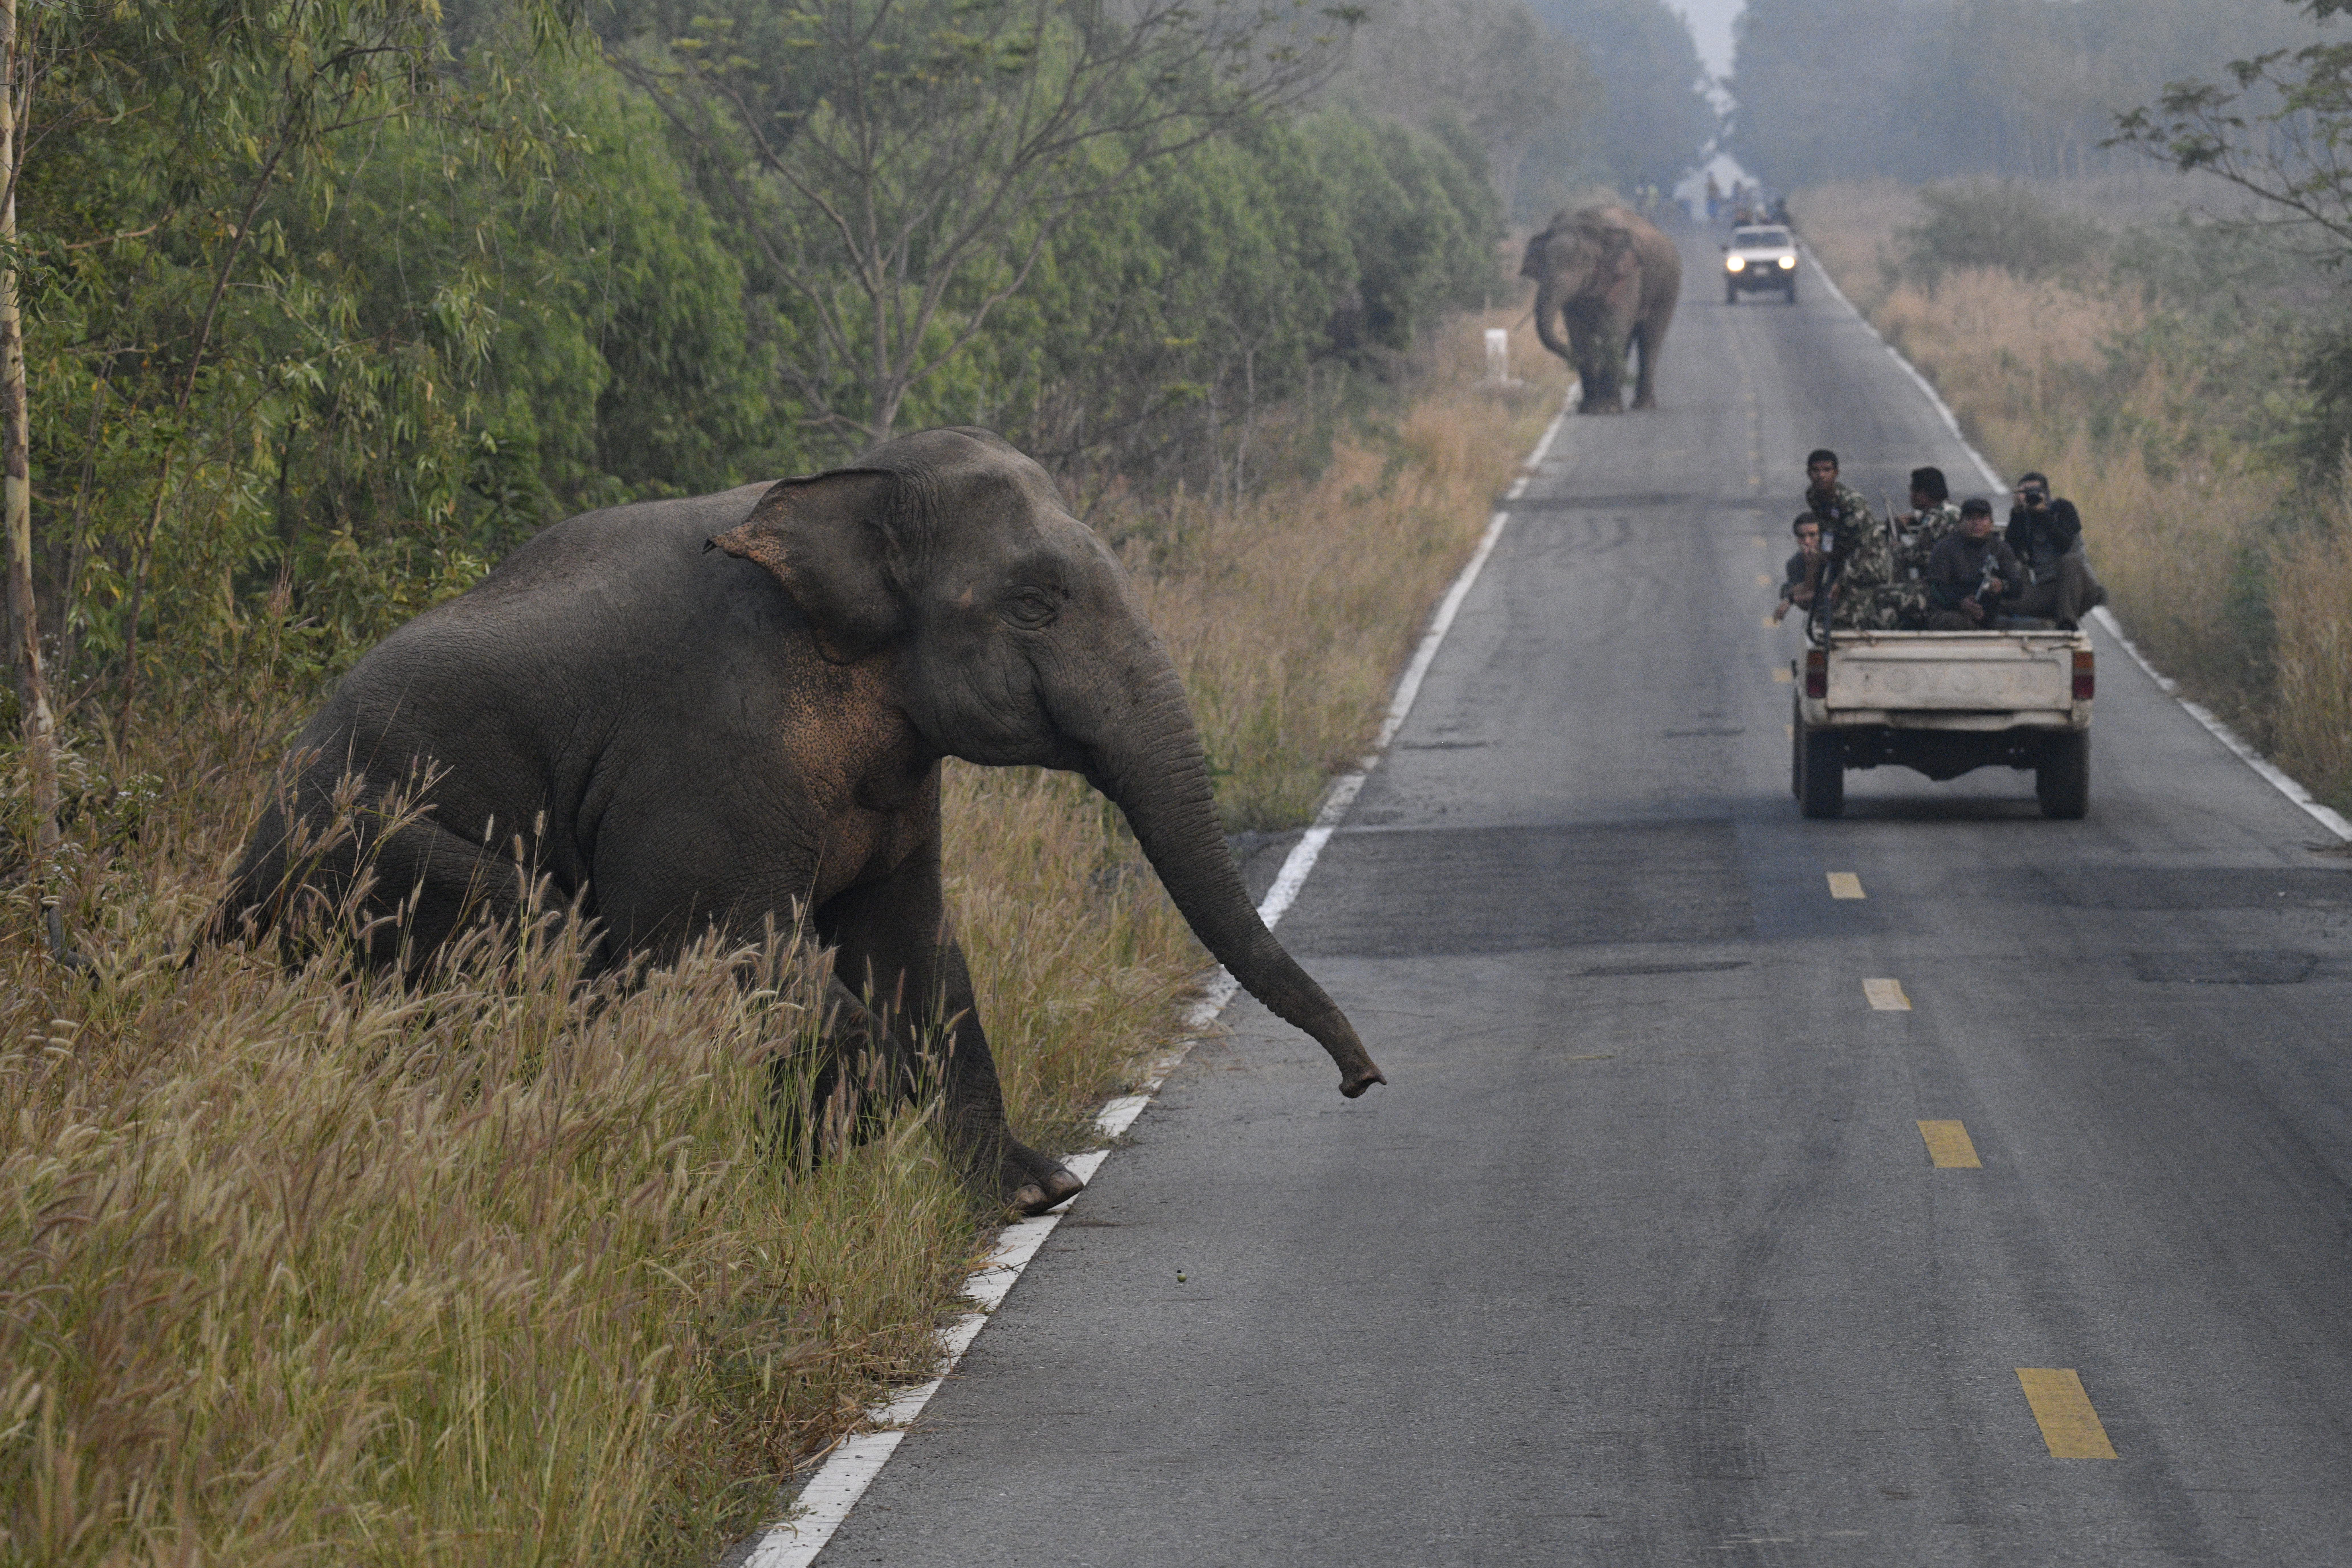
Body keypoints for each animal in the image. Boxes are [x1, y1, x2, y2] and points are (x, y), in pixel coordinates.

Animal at [209, 427, 1386, 1215]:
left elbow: (912, 949)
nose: (1362, 1081)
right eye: (1034, 604)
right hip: (364, 854)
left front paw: (1026, 1192)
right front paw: (839, 1152)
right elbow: (717, 945)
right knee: (540, 942)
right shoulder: (702, 754)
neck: (849, 485)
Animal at [1520, 204, 1683, 413]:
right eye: (1544, 259)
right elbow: (1579, 333)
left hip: (1668, 289)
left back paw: (1642, 406)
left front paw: (1608, 409)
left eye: (1583, 259)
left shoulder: (1628, 276)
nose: (1572, 360)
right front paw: (1589, 409)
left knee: (1650, 341)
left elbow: (1613, 330)